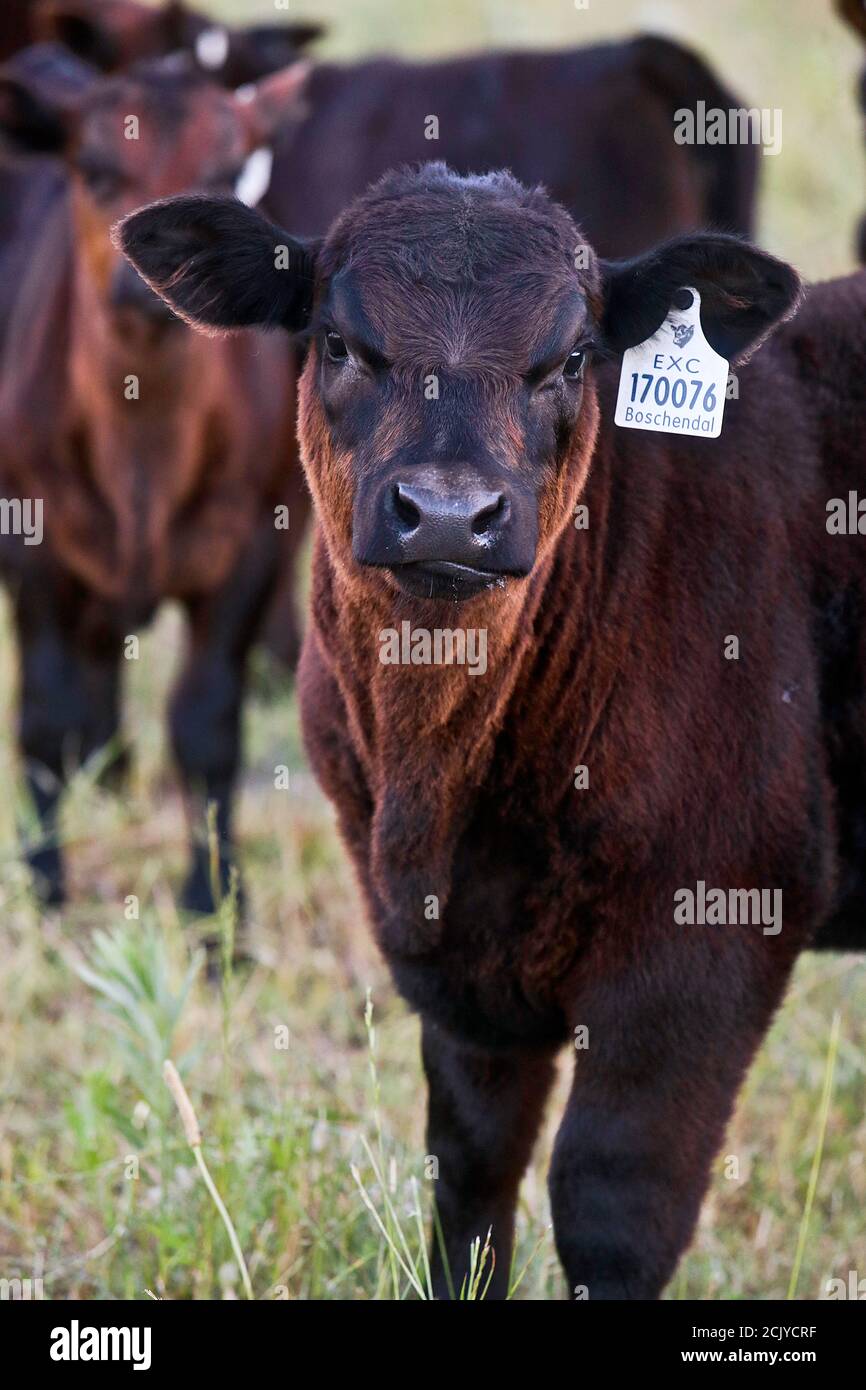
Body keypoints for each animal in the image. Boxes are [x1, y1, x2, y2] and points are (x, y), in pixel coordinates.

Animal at [0, 53, 309, 915]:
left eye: (228, 173)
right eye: (95, 168)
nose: (149, 286)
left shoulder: (251, 552)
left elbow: (206, 729)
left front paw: (214, 902)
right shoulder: (32, 547)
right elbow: (44, 717)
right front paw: (46, 885)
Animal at [118, 161, 866, 1299]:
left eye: (569, 359)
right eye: (339, 341)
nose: (445, 513)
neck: (444, 787)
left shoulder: (710, 928)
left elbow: (612, 1200)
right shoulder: (450, 958)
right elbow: (468, 1177)